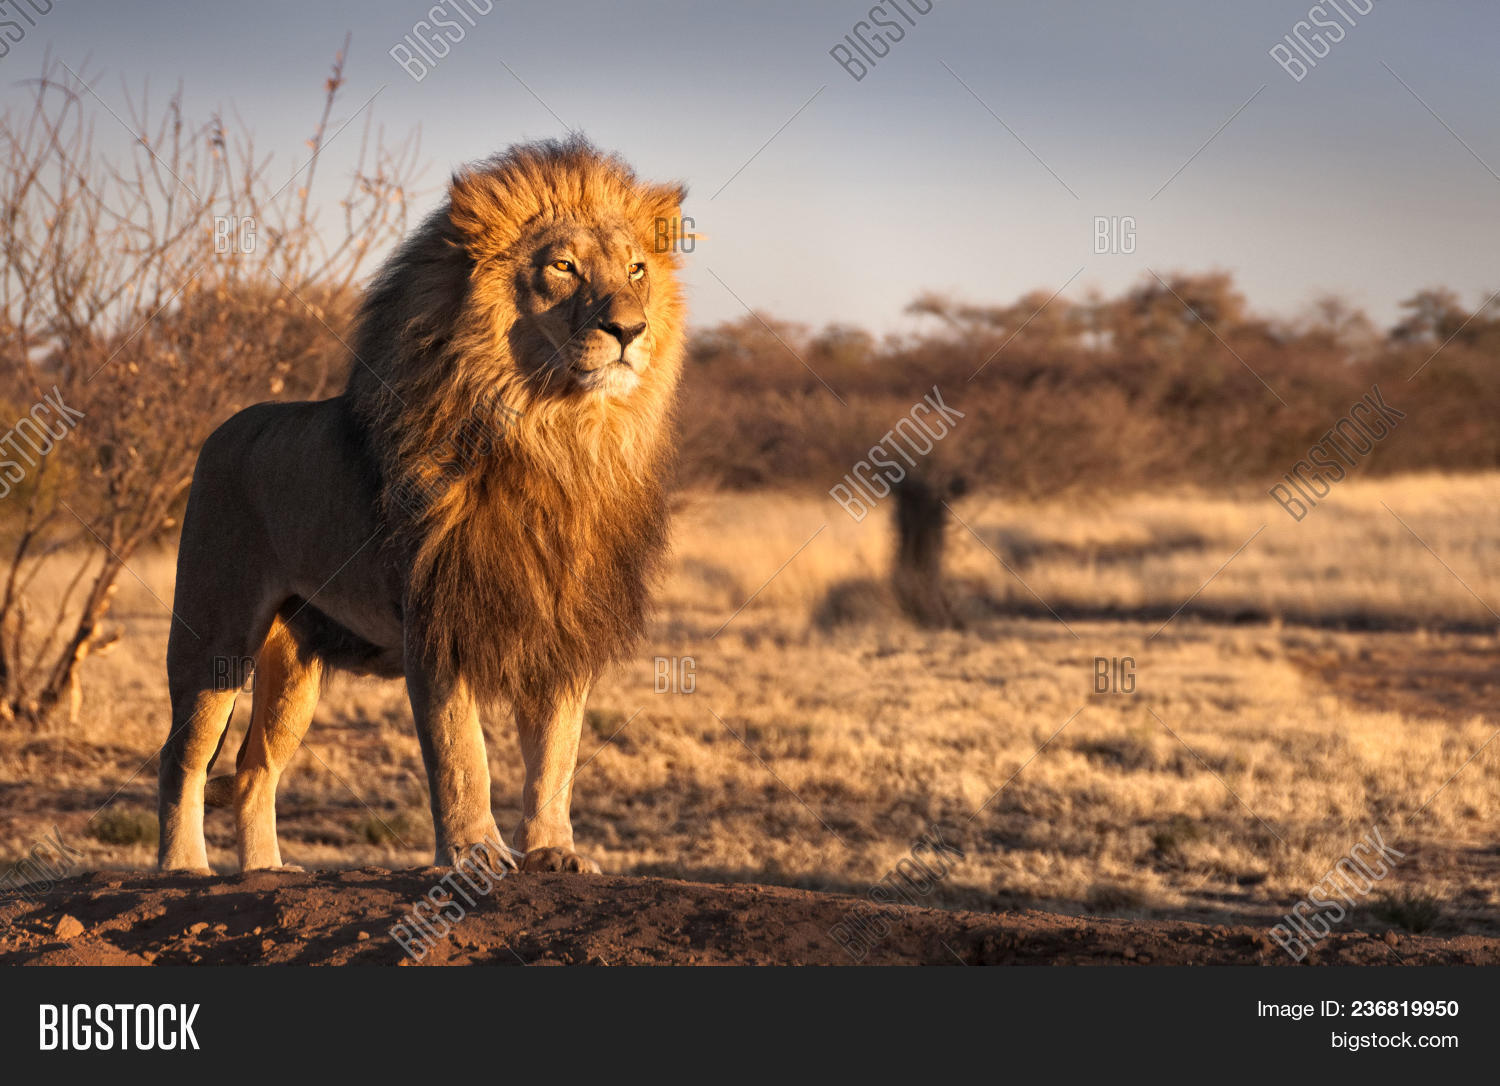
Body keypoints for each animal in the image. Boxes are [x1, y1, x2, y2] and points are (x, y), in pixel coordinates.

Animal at [156, 137, 687, 876]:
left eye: (637, 269)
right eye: (563, 266)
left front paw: (554, 851)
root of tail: (222, 428)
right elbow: (462, 752)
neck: (555, 436)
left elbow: (556, 754)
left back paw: (266, 870)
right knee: (183, 754)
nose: (630, 329)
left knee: (255, 766)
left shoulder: (562, 625)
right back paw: (183, 867)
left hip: (294, 666)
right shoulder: (436, 618)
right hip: (214, 635)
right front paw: (475, 852)